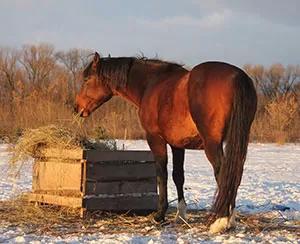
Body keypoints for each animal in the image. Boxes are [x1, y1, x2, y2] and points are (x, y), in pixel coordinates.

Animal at [74, 52, 256, 233]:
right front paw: (181, 214)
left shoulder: (155, 139)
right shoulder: (178, 145)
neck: (151, 84)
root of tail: (238, 77)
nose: (76, 108)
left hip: (212, 144)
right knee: (235, 173)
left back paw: (221, 221)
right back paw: (231, 219)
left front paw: (159, 214)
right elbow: (178, 176)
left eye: (87, 79)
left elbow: (161, 173)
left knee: (223, 173)